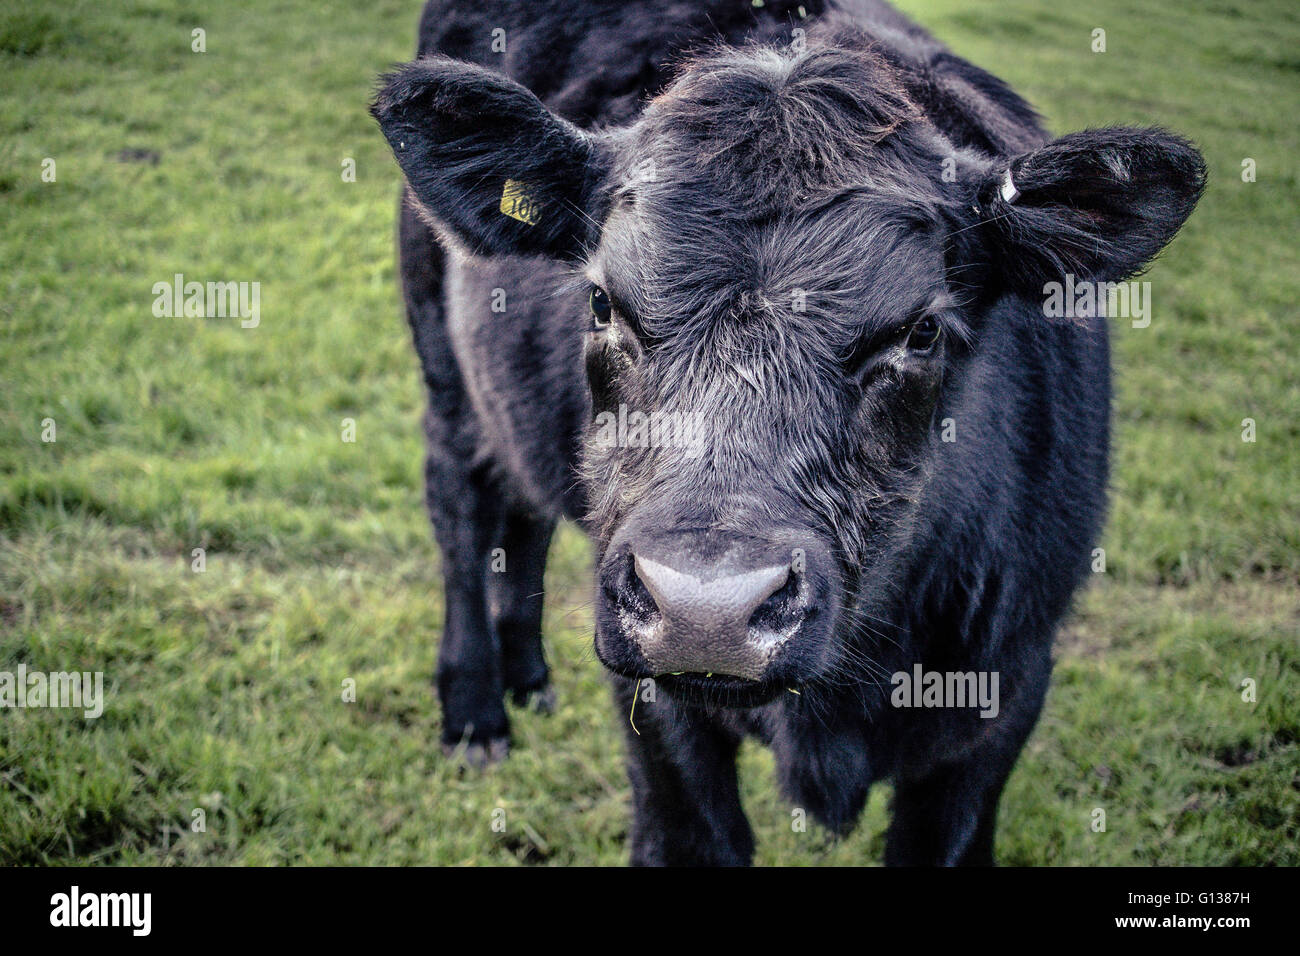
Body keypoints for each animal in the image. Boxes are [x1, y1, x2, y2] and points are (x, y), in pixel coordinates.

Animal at [370, 0, 1205, 865]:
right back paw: (475, 712)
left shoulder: (1006, 693)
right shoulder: (659, 723)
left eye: (922, 332)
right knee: (461, 513)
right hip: (443, 372)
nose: (706, 610)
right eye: (601, 301)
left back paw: (529, 675)